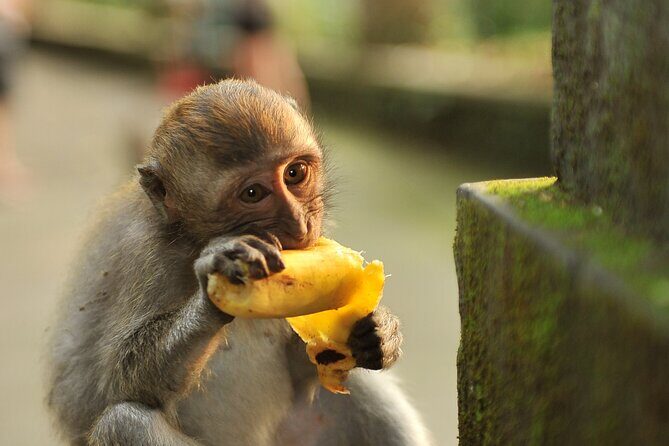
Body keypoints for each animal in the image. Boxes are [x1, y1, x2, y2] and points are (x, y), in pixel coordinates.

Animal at [46, 79, 432, 446]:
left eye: (294, 173)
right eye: (252, 193)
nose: (299, 224)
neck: (190, 239)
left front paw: (381, 330)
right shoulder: (146, 257)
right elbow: (116, 381)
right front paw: (215, 284)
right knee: (124, 422)